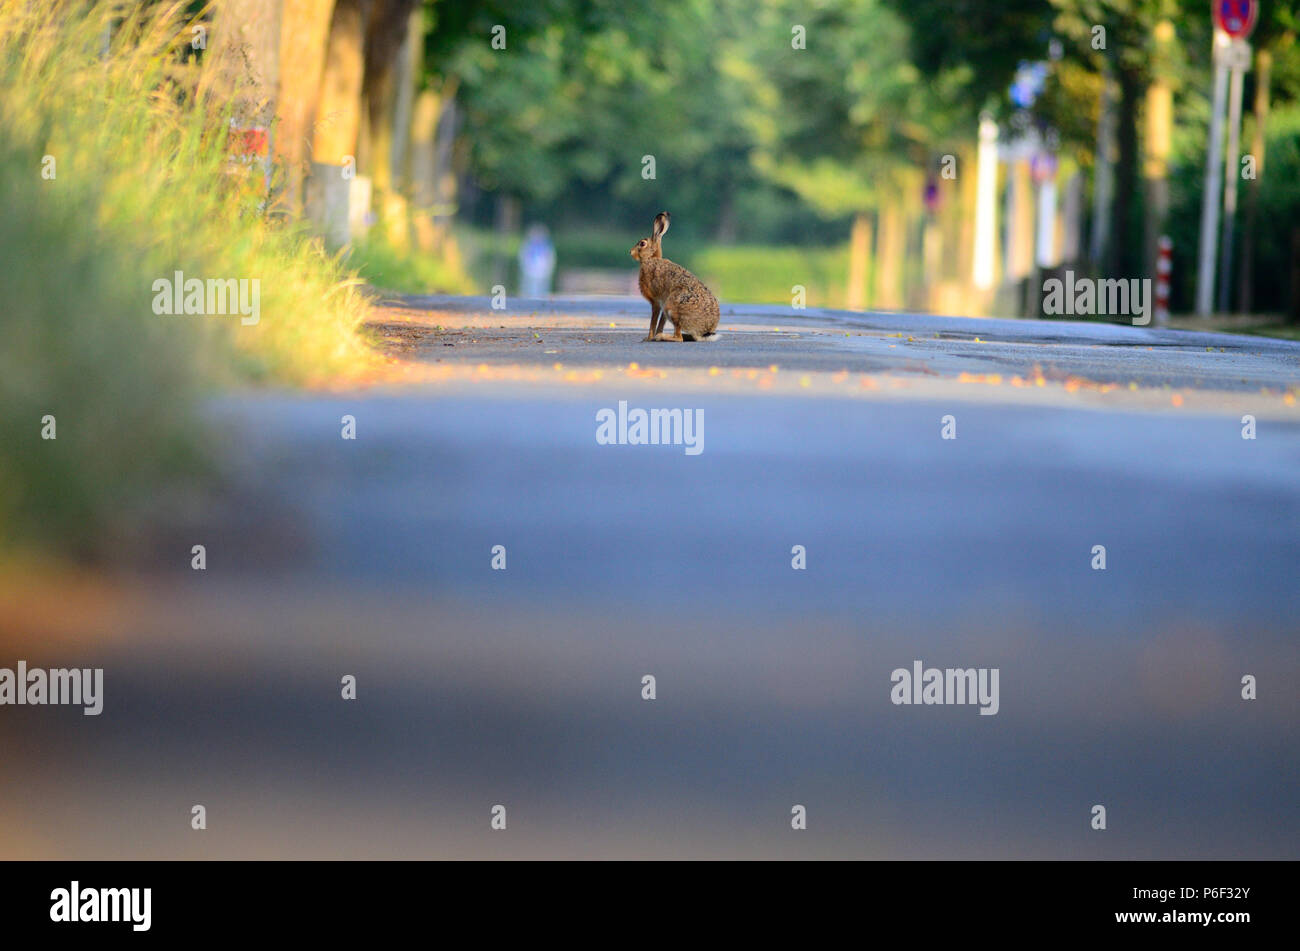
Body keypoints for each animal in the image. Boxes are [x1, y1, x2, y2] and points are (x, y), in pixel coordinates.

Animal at [630, 211, 720, 341]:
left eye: (642, 243)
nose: (630, 252)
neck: (651, 258)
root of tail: (706, 331)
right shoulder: (662, 304)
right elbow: (661, 322)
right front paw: (653, 336)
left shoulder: (656, 302)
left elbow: (653, 321)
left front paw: (649, 338)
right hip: (669, 307)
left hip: (673, 307)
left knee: (679, 337)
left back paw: (661, 337)